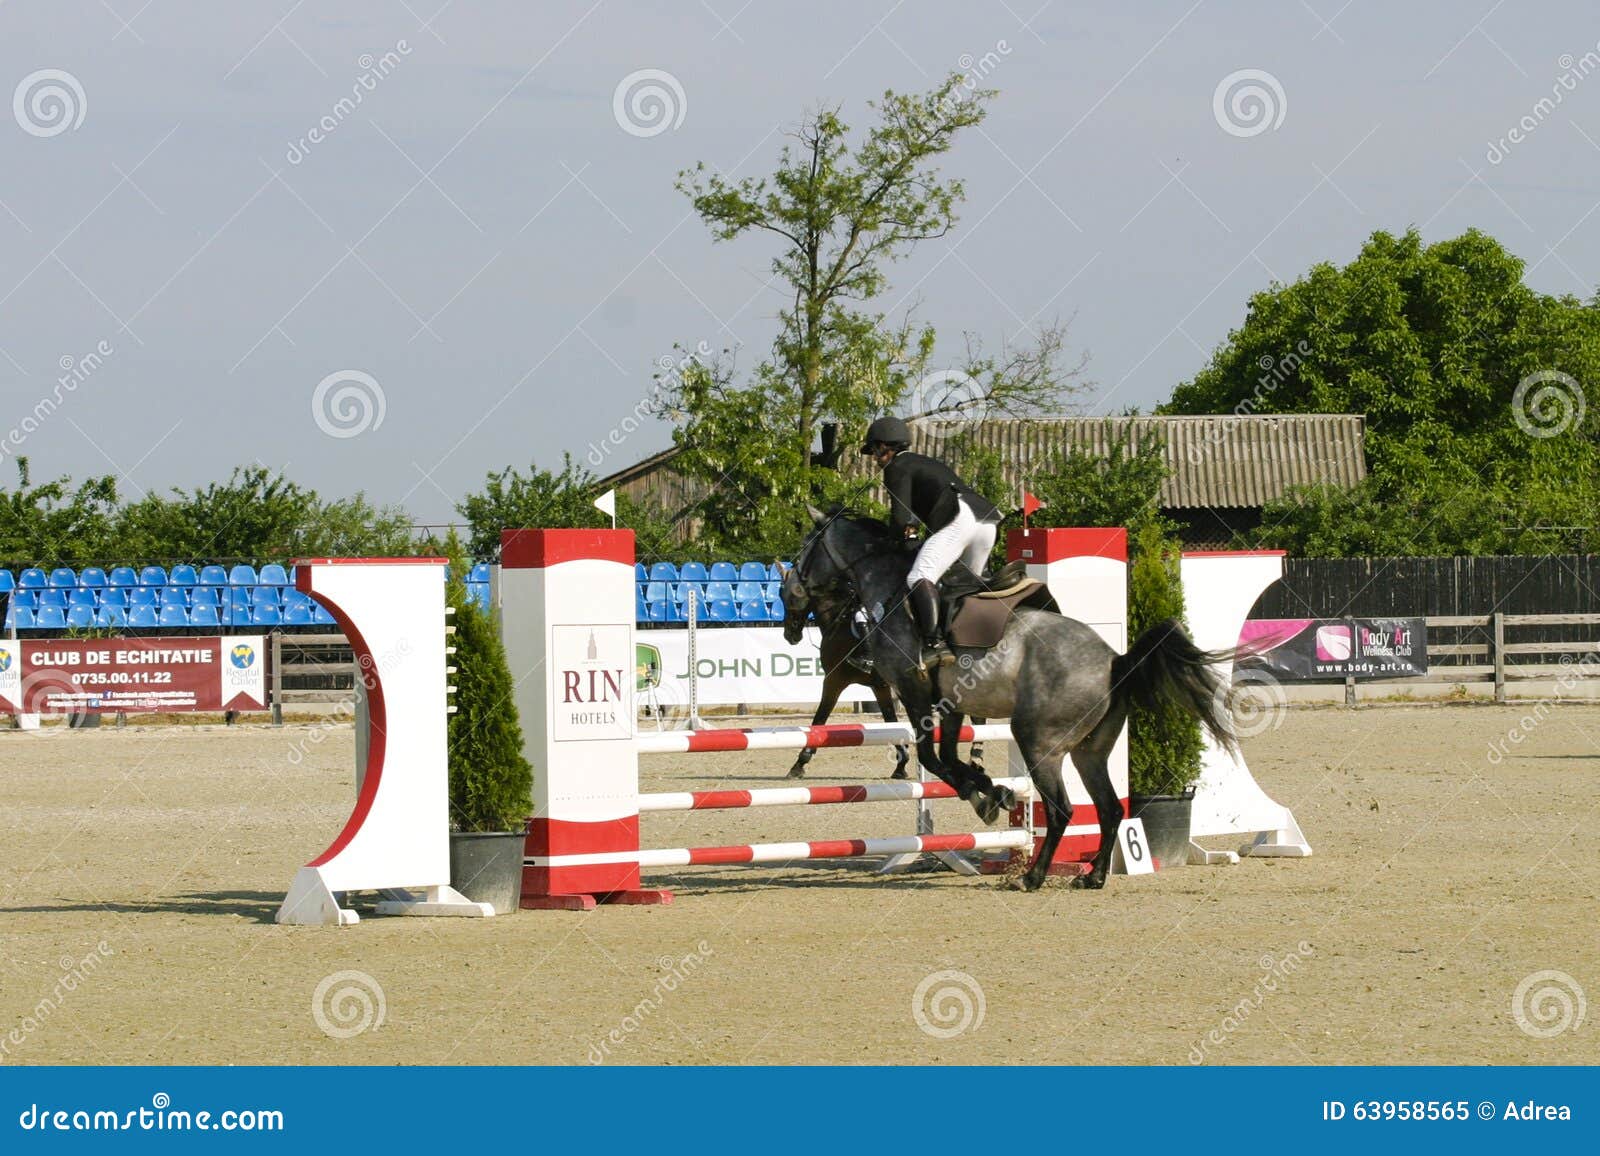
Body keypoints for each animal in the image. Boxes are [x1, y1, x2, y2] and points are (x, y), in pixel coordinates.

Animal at [789, 507, 1239, 891]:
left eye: (805, 547)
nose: (793, 590)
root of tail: (1115, 661)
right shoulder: (951, 702)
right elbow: (949, 758)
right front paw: (989, 792)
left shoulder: (910, 687)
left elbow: (933, 758)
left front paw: (985, 797)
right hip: (1089, 751)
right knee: (1110, 808)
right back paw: (1092, 875)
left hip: (1038, 740)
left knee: (1061, 810)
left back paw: (1033, 876)